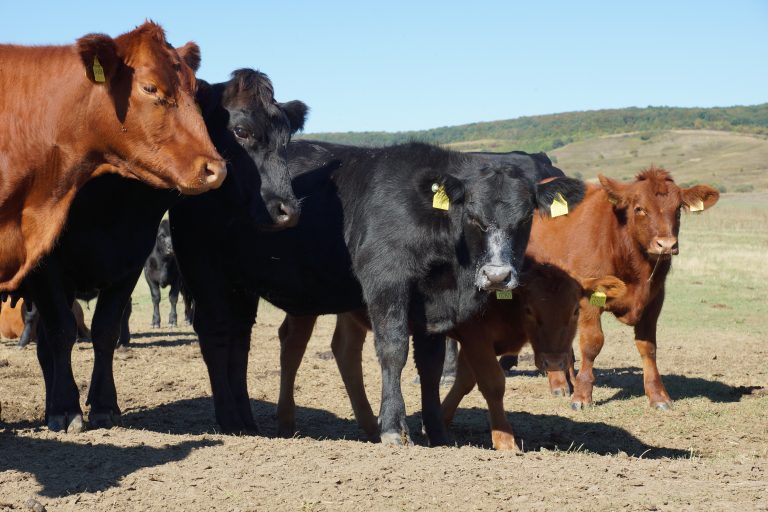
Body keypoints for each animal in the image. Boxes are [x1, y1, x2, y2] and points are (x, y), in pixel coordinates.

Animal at [19, 69, 307, 433]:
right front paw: (66, 409)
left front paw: (103, 404)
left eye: (287, 138)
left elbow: (105, 330)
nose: (289, 211)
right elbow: (62, 332)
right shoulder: (47, 268)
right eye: (241, 131)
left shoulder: (128, 261)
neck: (106, 195)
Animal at [170, 139, 585, 444]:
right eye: (473, 217)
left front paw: (435, 430)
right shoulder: (387, 283)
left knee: (242, 344)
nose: (498, 276)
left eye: (526, 218)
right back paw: (230, 419)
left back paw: (253, 420)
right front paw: (393, 428)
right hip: (208, 277)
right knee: (216, 339)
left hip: (241, 288)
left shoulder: (430, 306)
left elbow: (430, 365)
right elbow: (393, 350)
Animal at [526, 168, 719, 410]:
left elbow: (648, 347)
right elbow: (592, 344)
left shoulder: (654, 300)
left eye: (678, 210)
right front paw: (582, 395)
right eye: (639, 208)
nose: (666, 245)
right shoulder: (589, 298)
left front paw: (658, 396)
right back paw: (559, 383)